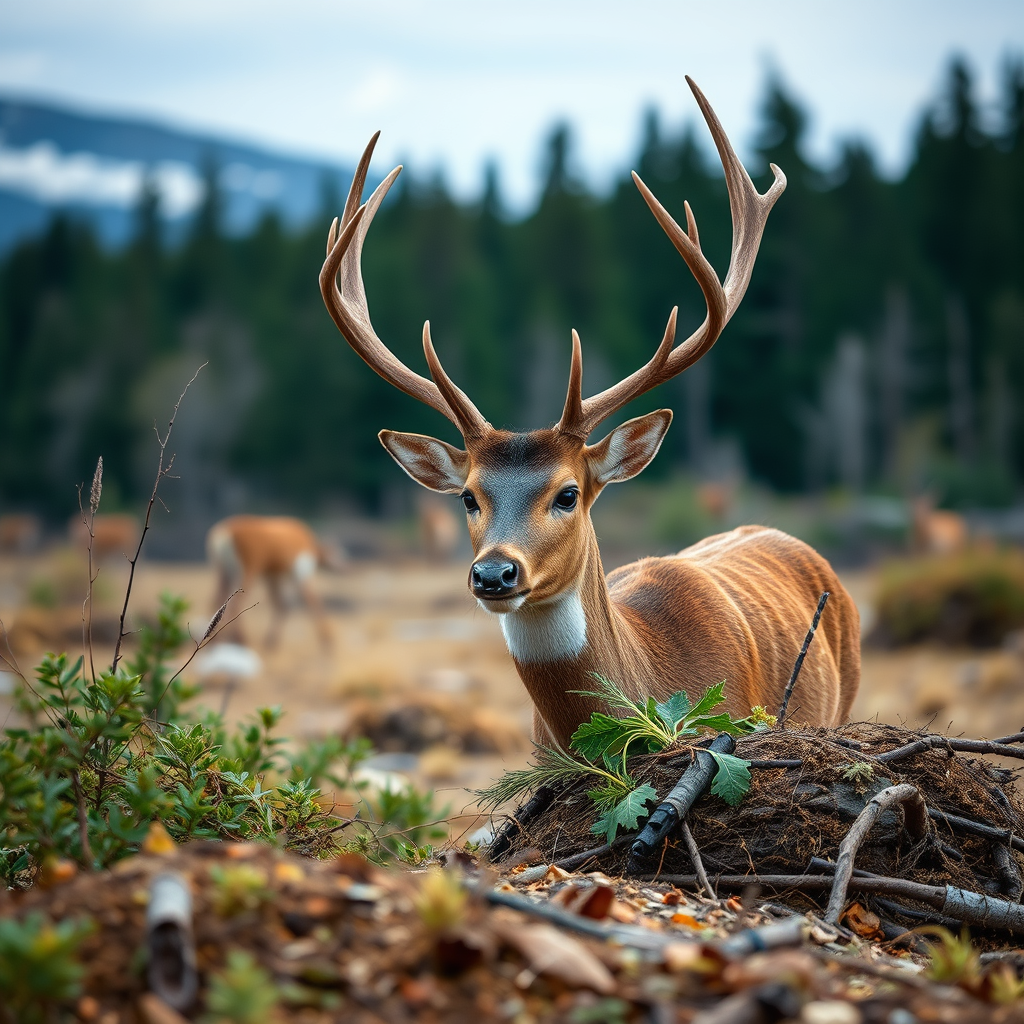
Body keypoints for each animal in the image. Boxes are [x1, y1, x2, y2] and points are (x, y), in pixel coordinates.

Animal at [206, 515, 341, 650]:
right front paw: (327, 639)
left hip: (224, 575)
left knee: (217, 600)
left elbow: (282, 605)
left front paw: (271, 641)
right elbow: (312, 601)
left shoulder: (273, 578)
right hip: (248, 573)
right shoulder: (300, 574)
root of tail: (226, 530)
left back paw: (216, 641)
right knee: (235, 604)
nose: (342, 566)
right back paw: (242, 640)